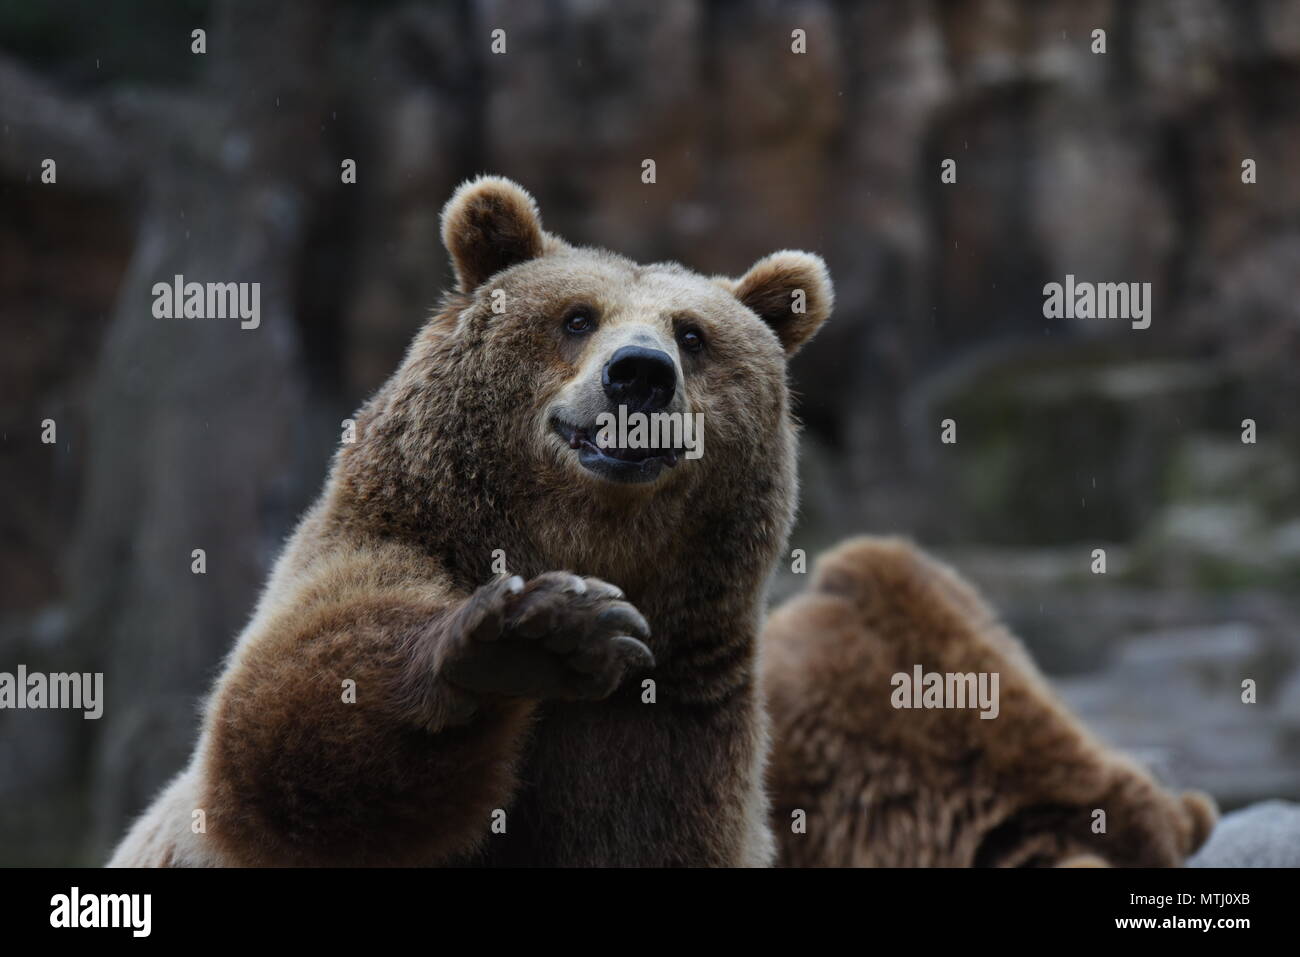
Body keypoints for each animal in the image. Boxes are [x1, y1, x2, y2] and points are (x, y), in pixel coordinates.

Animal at [107, 175, 834, 866]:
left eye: (692, 335)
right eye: (577, 317)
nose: (640, 373)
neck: (580, 537)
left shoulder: (668, 726)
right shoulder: (389, 540)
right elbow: (284, 729)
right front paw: (538, 633)